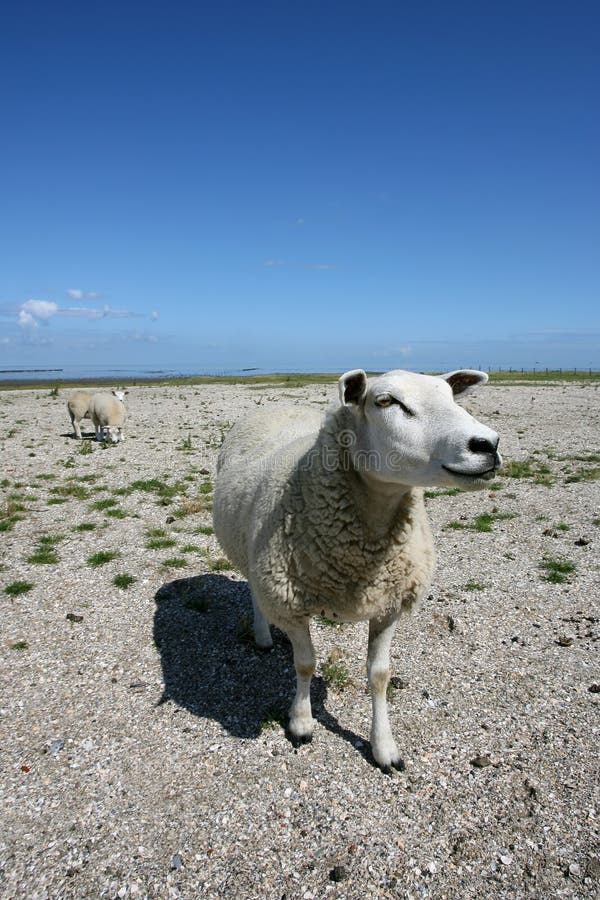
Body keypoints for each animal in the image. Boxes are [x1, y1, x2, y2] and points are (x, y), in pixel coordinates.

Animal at [213, 368, 501, 771]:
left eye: (451, 396)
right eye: (385, 402)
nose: (487, 444)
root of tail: (278, 405)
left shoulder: (390, 603)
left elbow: (379, 676)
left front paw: (384, 747)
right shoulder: (290, 602)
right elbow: (305, 664)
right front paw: (301, 723)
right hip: (253, 558)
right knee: (256, 593)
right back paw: (263, 636)